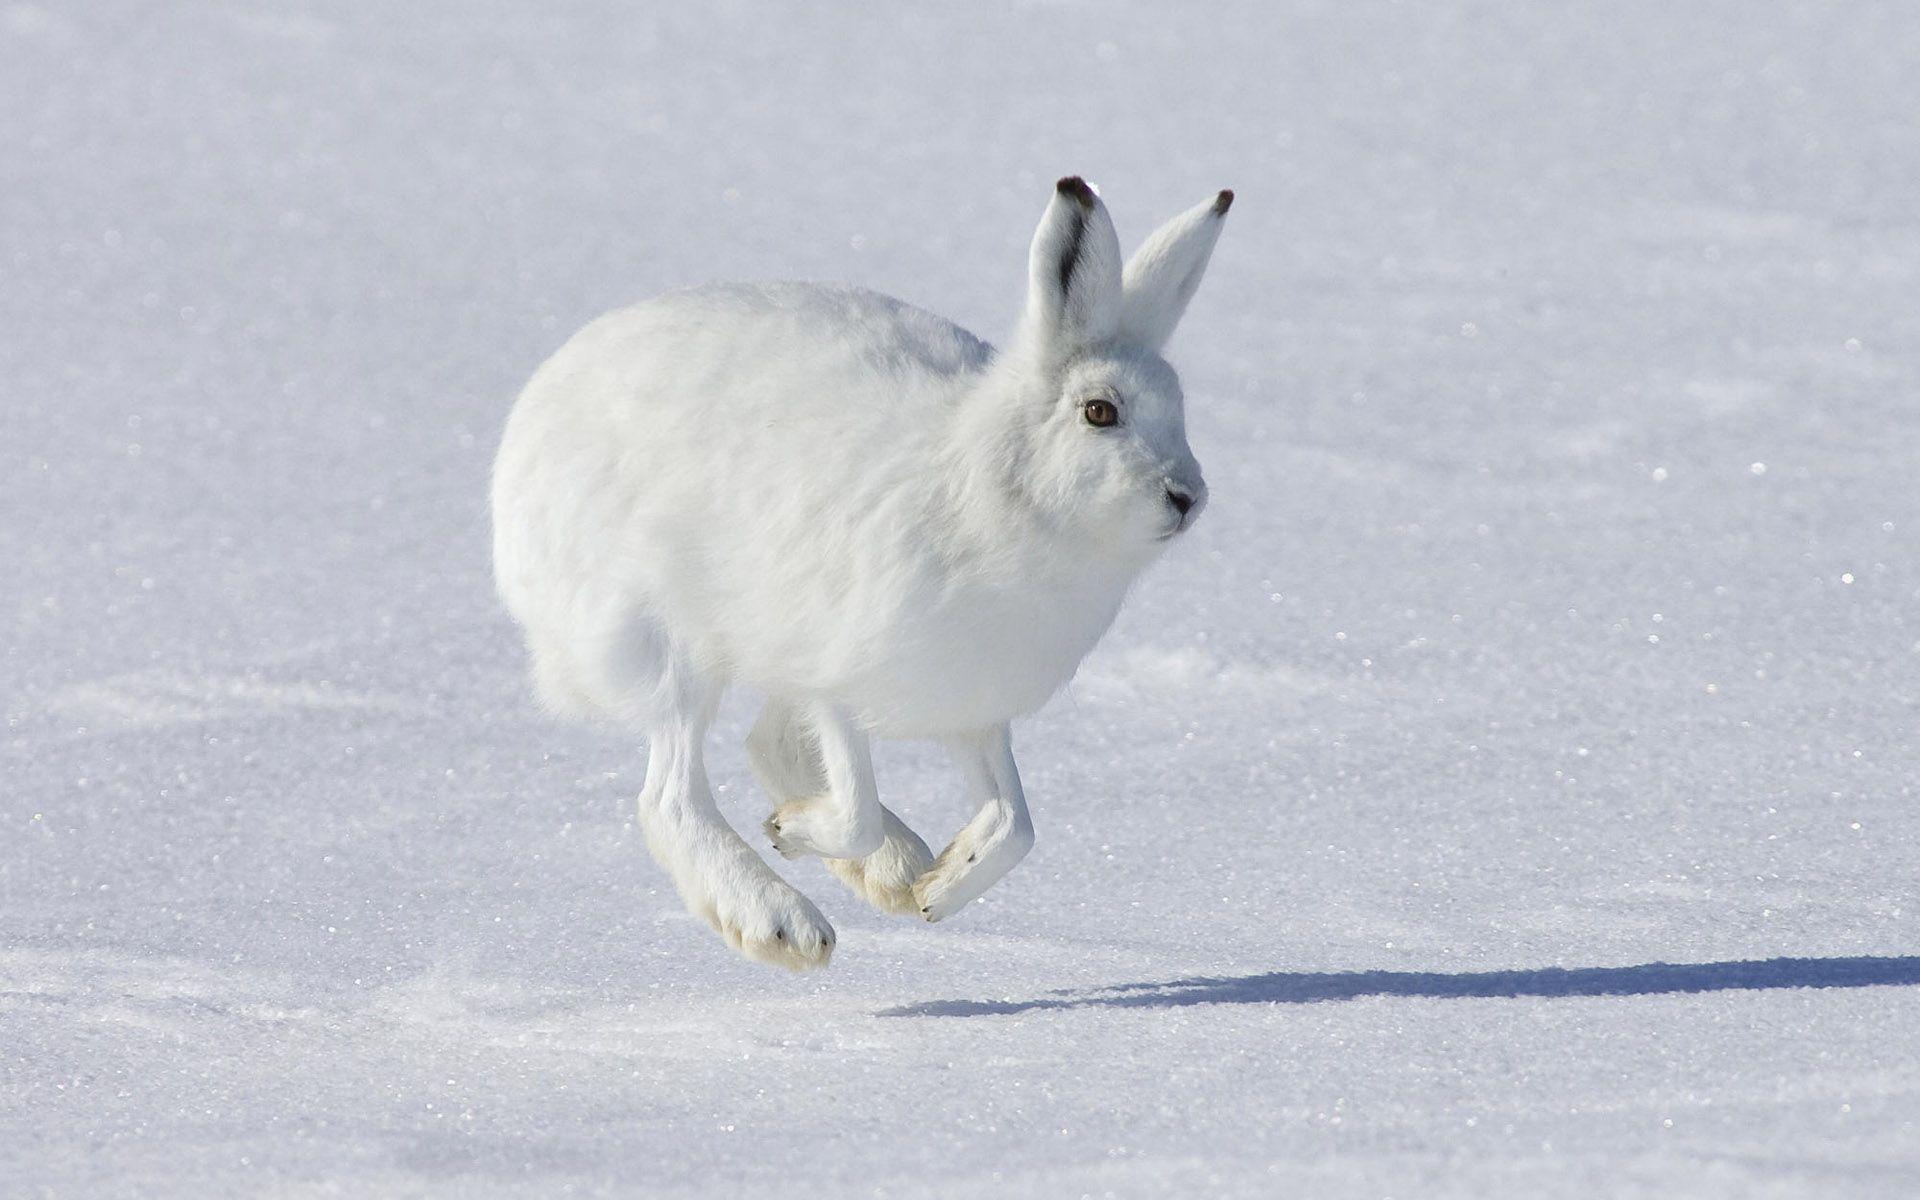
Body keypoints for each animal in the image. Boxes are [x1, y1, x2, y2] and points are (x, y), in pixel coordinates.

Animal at [491, 177, 1231, 969]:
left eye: (1179, 410)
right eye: (1099, 412)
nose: (1186, 497)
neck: (998, 492)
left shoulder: (975, 709)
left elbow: (1016, 824)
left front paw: (938, 888)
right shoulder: (834, 679)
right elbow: (856, 812)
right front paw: (794, 835)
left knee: (765, 746)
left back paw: (898, 871)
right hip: (672, 642)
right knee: (671, 795)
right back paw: (780, 922)